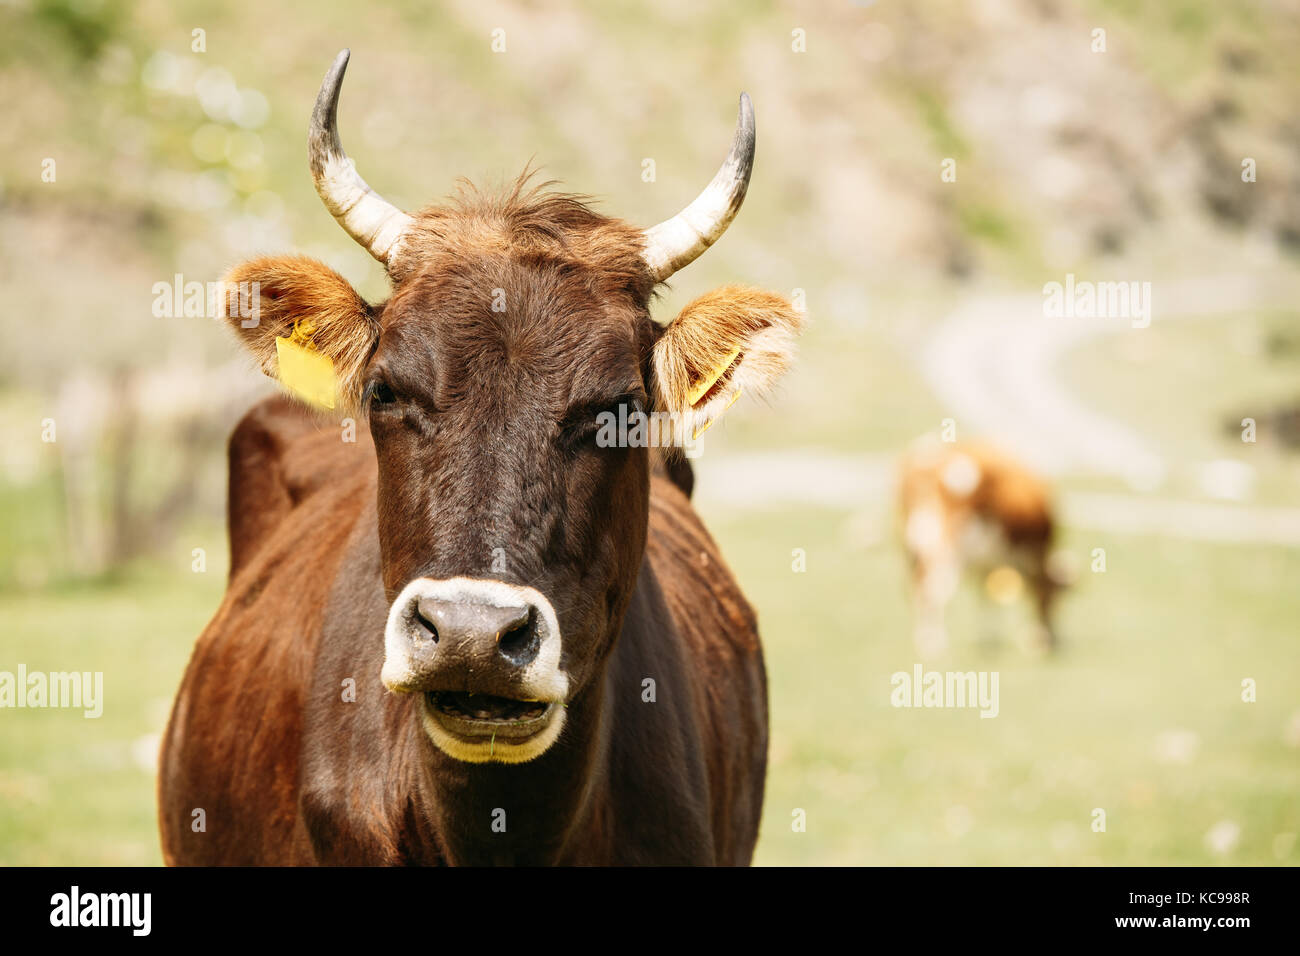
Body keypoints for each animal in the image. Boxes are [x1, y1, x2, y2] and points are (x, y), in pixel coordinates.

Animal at [898, 439, 1066, 658]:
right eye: (1057, 599)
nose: (1054, 640)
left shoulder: (987, 562)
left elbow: (985, 595)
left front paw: (988, 640)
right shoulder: (1029, 554)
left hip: (913, 544)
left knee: (917, 586)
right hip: (949, 545)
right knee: (935, 590)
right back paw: (934, 645)